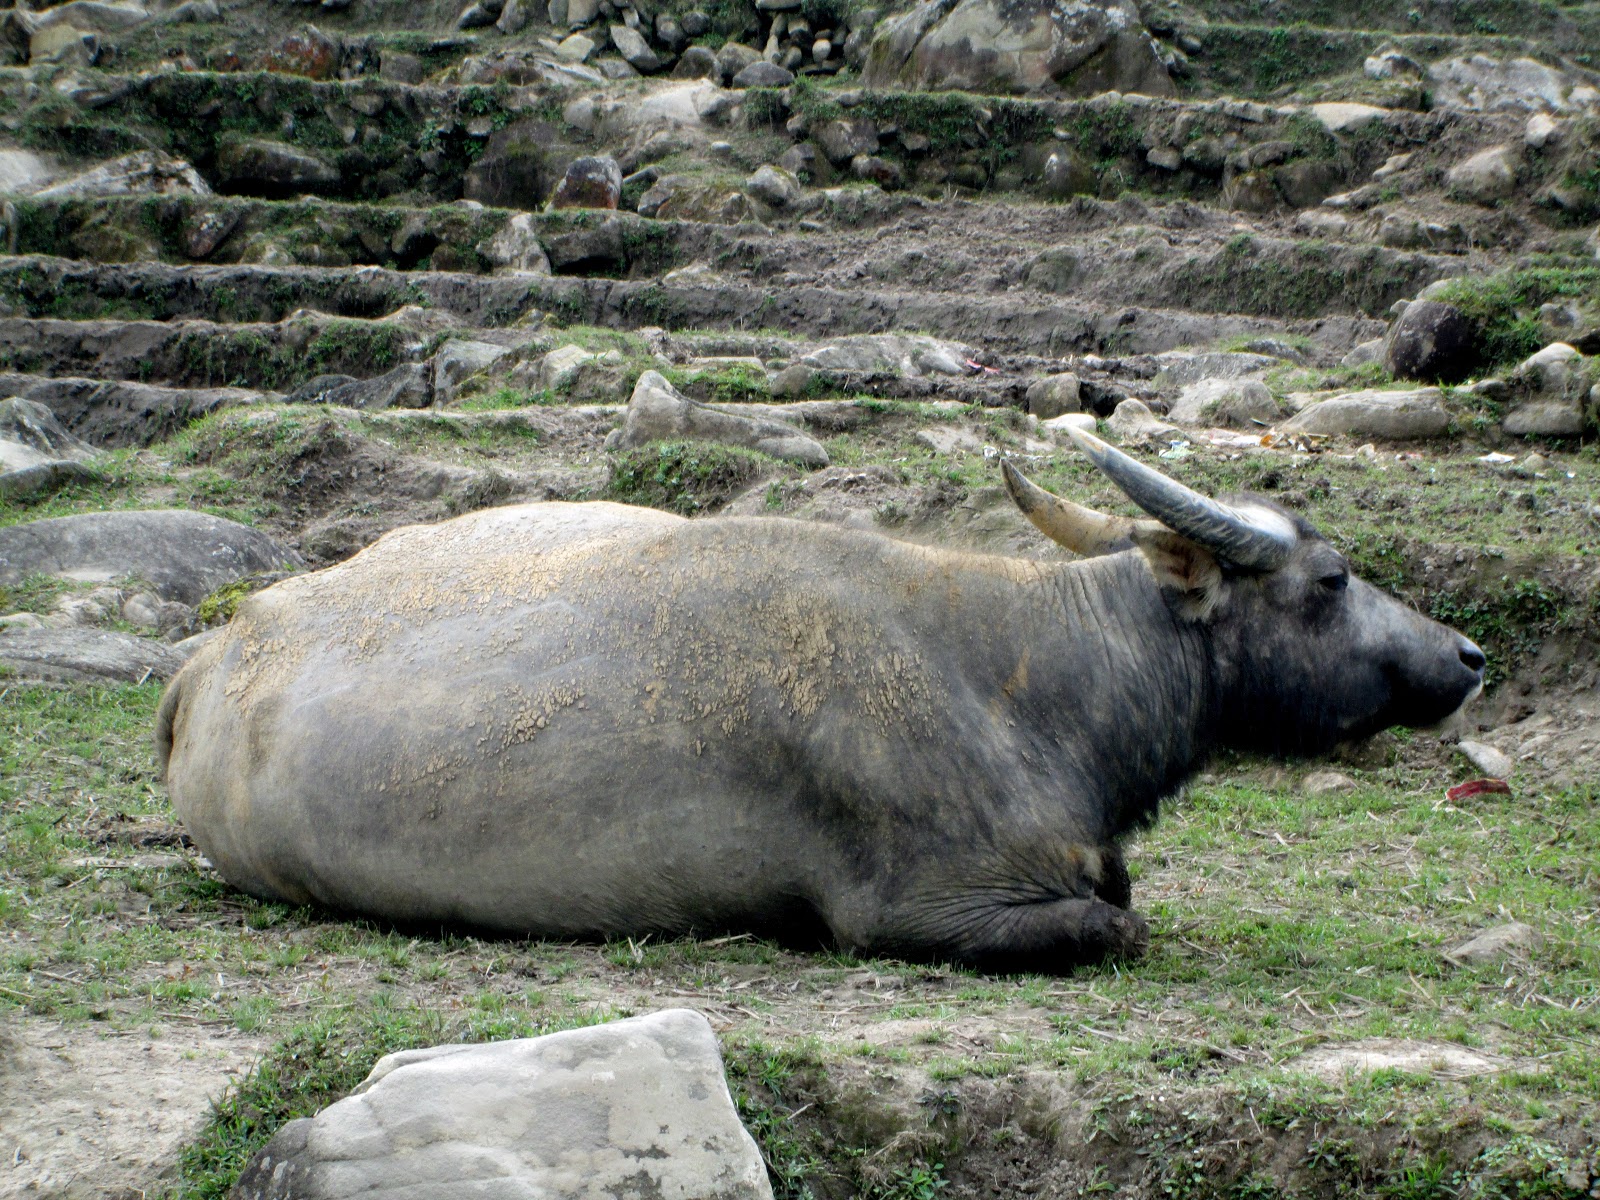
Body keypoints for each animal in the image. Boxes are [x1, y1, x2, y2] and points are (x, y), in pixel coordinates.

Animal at [158, 427, 1484, 970]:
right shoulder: (933, 908)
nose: (1466, 655)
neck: (1027, 677)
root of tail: (216, 654)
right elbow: (1123, 926)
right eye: (1332, 578)